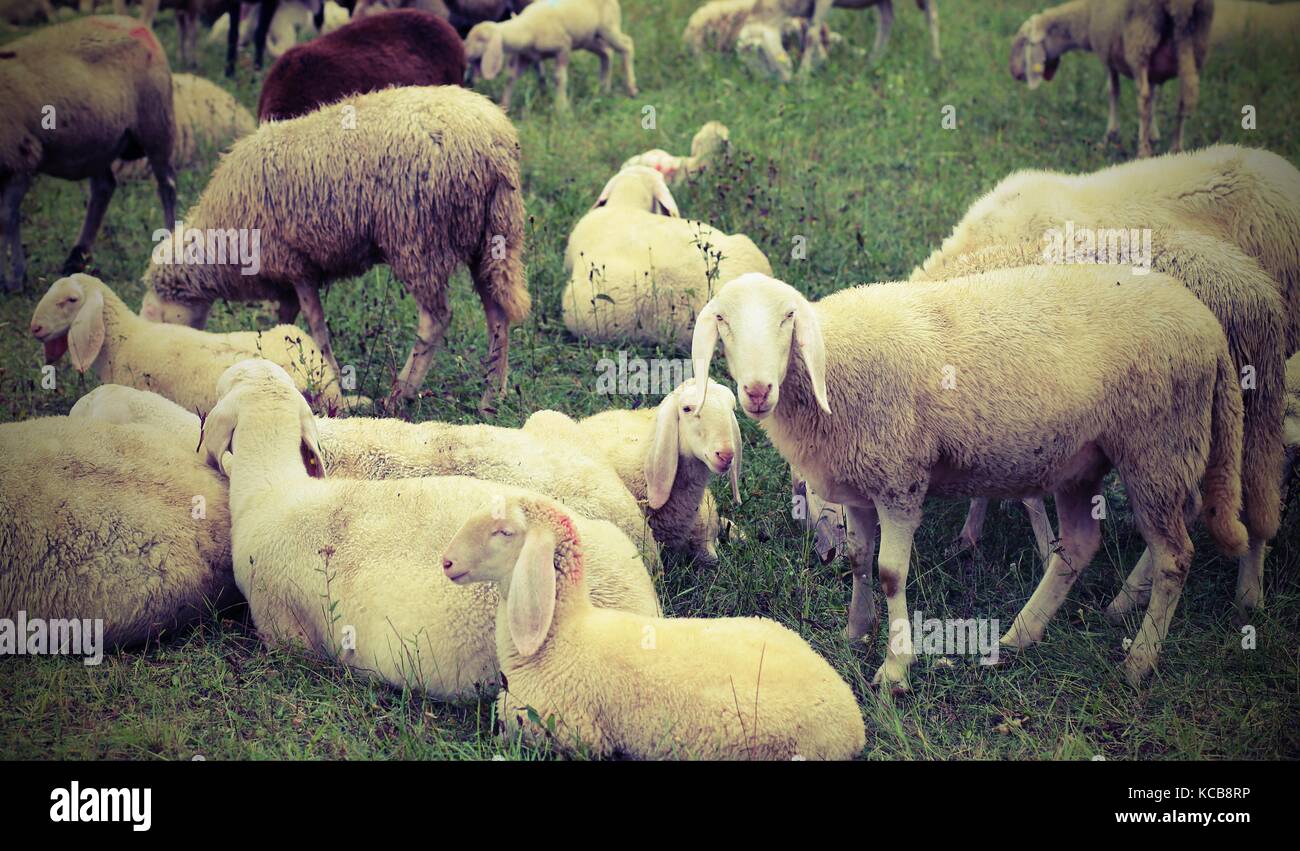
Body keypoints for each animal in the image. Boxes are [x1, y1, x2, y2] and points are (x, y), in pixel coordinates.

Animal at [0, 15, 177, 292]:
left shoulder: (22, 158)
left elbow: (6, 218)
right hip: (100, 142)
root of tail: (135, 23)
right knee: (104, 187)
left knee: (166, 186)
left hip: (157, 124)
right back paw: (77, 257)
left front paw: (14, 277)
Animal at [140, 85, 530, 415]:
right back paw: (491, 399)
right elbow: (285, 321)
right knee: (497, 315)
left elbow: (318, 328)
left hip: (418, 236)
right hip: (492, 237)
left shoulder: (295, 264)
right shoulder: (287, 277)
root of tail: (495, 142)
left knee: (436, 318)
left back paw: (400, 395)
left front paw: (330, 380)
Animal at [463, 0, 637, 112]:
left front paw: (561, 108)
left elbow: (559, 78)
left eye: (480, 39)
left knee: (627, 45)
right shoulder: (525, 57)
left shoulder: (563, 47)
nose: (464, 52)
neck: (526, 29)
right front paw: (504, 107)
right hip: (589, 38)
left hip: (608, 27)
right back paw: (604, 89)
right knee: (606, 52)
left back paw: (631, 89)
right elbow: (511, 78)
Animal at [691, 270, 1248, 689]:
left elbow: (890, 572)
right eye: (723, 319)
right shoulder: (862, 482)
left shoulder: (900, 479)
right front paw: (855, 633)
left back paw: (1139, 661)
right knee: (1081, 544)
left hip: (1158, 445)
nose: (757, 390)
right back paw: (1020, 636)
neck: (834, 368)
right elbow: (857, 559)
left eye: (788, 317)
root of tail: (1210, 326)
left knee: (1175, 555)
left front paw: (895, 668)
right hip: (1083, 459)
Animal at [1010, 1, 1213, 158]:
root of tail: (1181, 7)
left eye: (1021, 42)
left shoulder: (1108, 50)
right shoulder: (1150, 65)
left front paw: (1111, 136)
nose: (1013, 72)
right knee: (1186, 96)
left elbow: (1113, 91)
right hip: (1192, 43)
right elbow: (1154, 94)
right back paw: (1176, 149)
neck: (1086, 17)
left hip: (1139, 39)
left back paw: (1143, 151)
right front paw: (1153, 134)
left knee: (1144, 97)